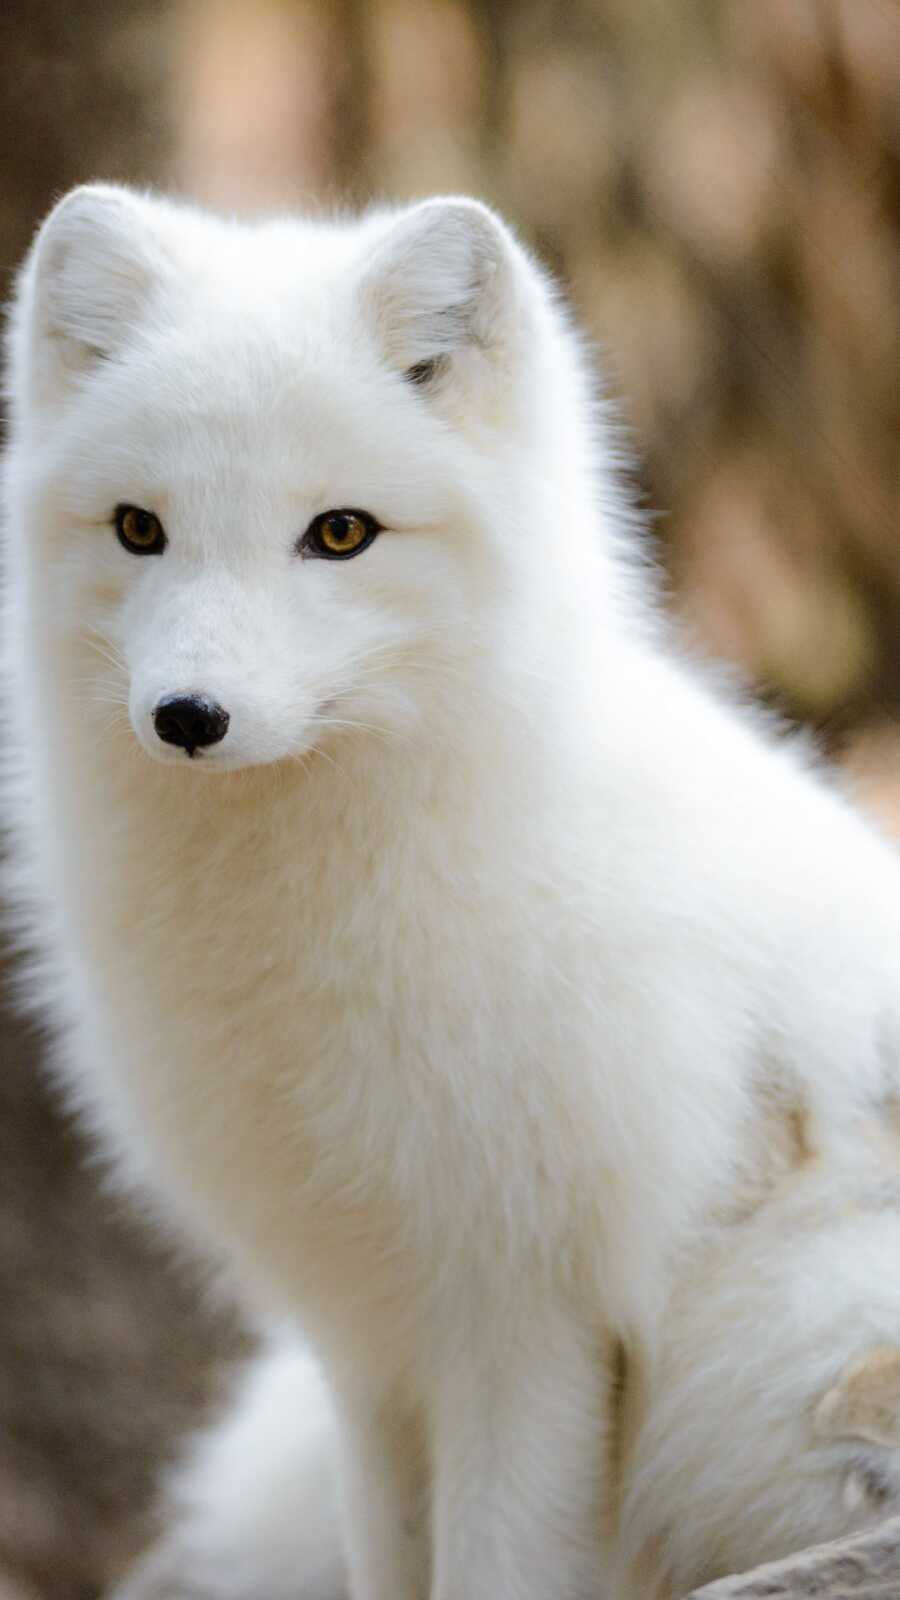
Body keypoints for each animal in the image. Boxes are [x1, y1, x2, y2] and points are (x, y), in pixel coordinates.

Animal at [4, 183, 900, 1600]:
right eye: (139, 526)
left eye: (340, 534)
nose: (188, 717)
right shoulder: (365, 1331)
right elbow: (392, 1555)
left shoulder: (524, 1317)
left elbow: (495, 1563)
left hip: (767, 1347)